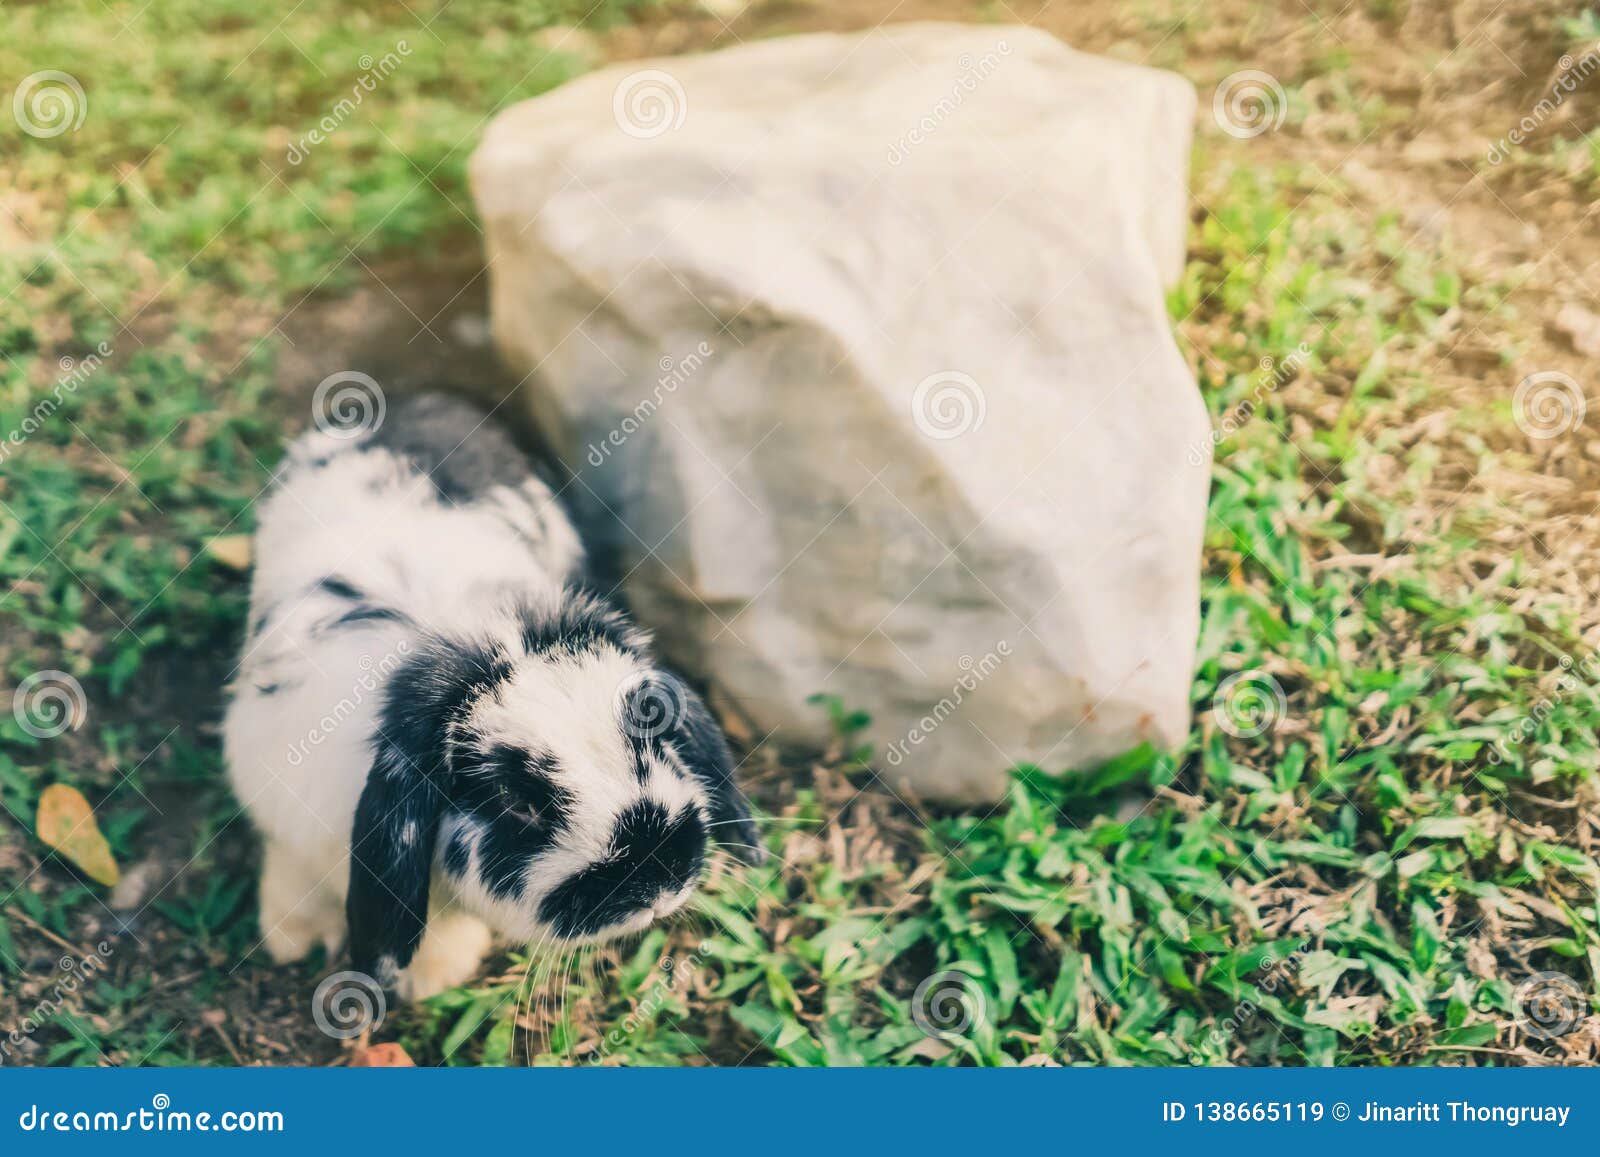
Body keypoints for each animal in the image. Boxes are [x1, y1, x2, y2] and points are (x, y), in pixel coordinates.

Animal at [223, 390, 762, 1001]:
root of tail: (422, 401)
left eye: (656, 740)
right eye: (516, 803)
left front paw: (434, 977)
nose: (658, 884)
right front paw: (292, 940)